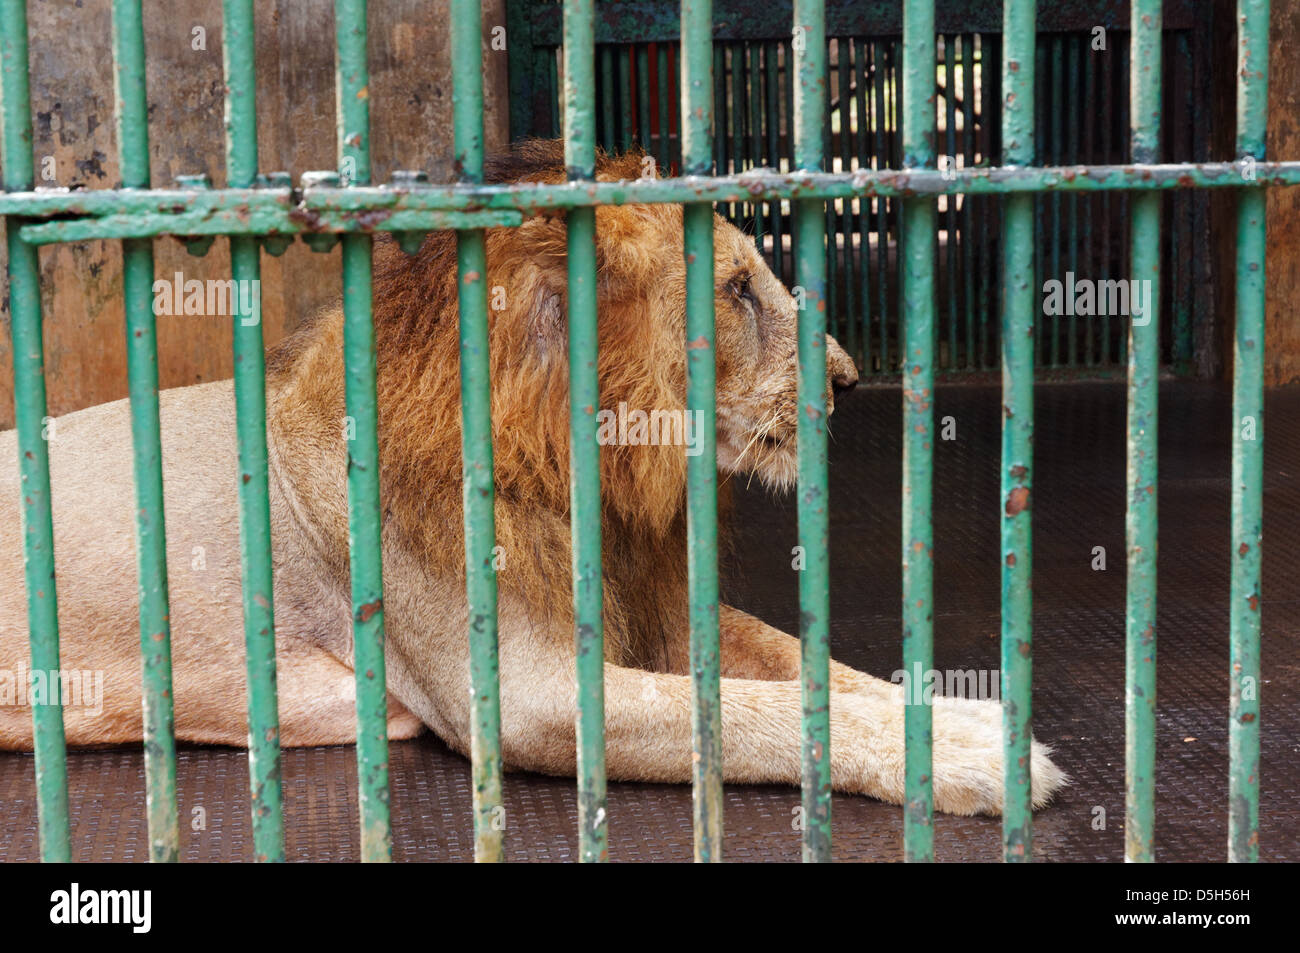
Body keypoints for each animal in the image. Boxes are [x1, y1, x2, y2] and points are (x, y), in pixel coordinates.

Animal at [0, 140, 1065, 817]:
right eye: (735, 291)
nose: (847, 379)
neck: (588, 462)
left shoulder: (657, 606)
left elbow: (811, 666)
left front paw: (966, 716)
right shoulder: (529, 691)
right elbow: (744, 712)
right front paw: (970, 755)